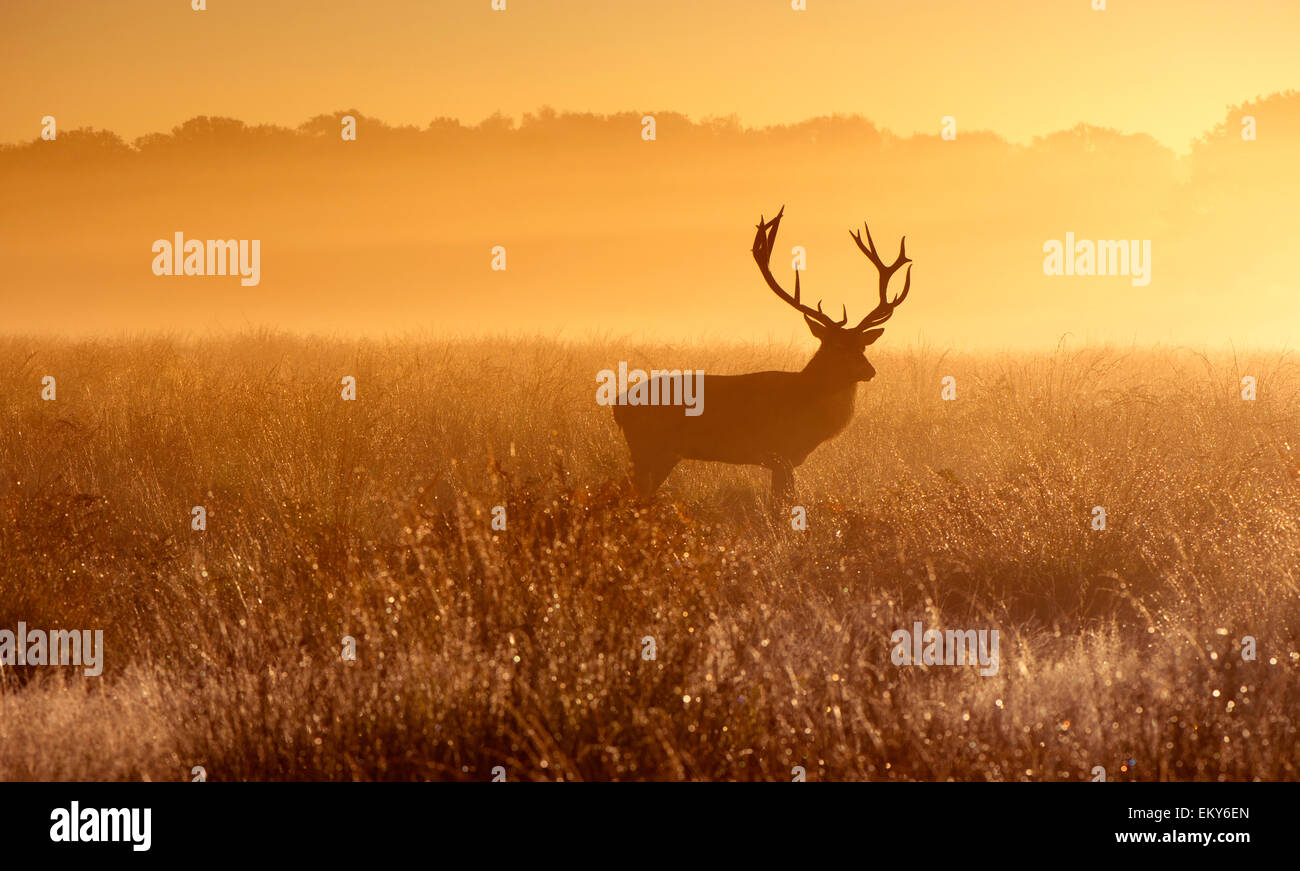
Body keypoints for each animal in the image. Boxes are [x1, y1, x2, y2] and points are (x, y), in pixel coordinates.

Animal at [613, 207, 912, 499]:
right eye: (835, 346)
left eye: (862, 345)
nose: (870, 370)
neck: (807, 402)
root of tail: (619, 404)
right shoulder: (781, 454)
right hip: (649, 448)